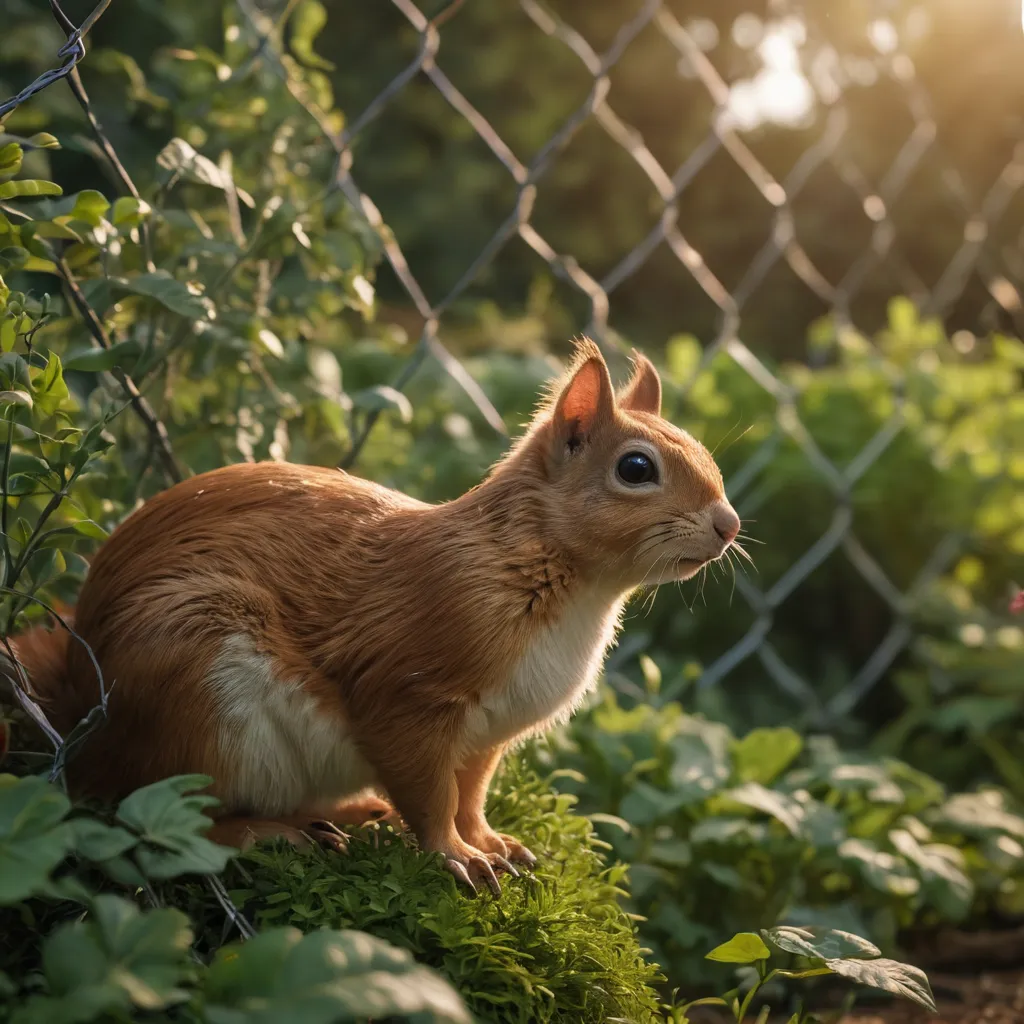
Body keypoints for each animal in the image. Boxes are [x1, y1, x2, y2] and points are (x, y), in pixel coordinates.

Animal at [11, 338, 741, 895]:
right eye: (636, 468)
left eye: (702, 448)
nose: (728, 525)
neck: (565, 582)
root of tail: (82, 710)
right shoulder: (410, 691)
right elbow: (429, 792)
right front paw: (455, 856)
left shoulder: (487, 733)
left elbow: (469, 794)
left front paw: (490, 842)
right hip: (194, 701)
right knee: (151, 810)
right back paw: (269, 832)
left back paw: (355, 809)